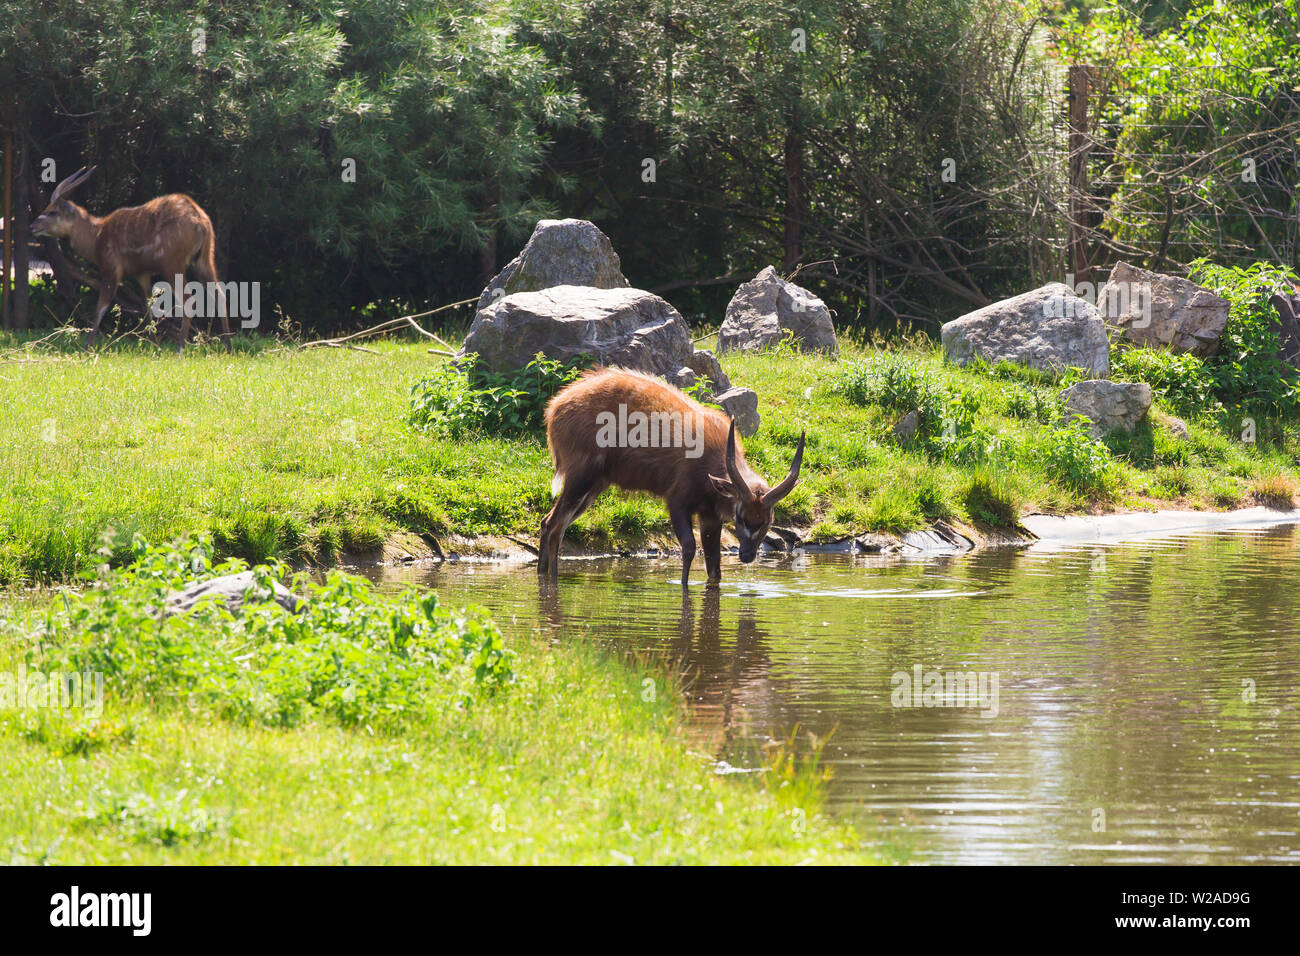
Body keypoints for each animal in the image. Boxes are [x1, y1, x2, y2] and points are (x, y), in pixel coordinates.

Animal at [30, 165, 230, 351]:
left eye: (53, 212)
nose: (32, 226)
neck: (97, 236)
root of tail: (200, 222)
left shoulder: (112, 268)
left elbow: (101, 306)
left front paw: (87, 345)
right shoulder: (141, 273)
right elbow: (148, 307)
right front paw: (154, 345)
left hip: (173, 265)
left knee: (189, 299)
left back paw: (180, 349)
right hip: (204, 259)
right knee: (219, 293)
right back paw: (227, 347)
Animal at [539, 367, 805, 587]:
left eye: (767, 520)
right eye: (740, 517)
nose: (747, 556)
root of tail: (555, 408)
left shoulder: (710, 516)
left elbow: (714, 569)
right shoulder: (677, 501)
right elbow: (688, 548)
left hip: (593, 487)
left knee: (548, 522)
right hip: (580, 479)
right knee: (554, 524)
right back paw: (552, 582)